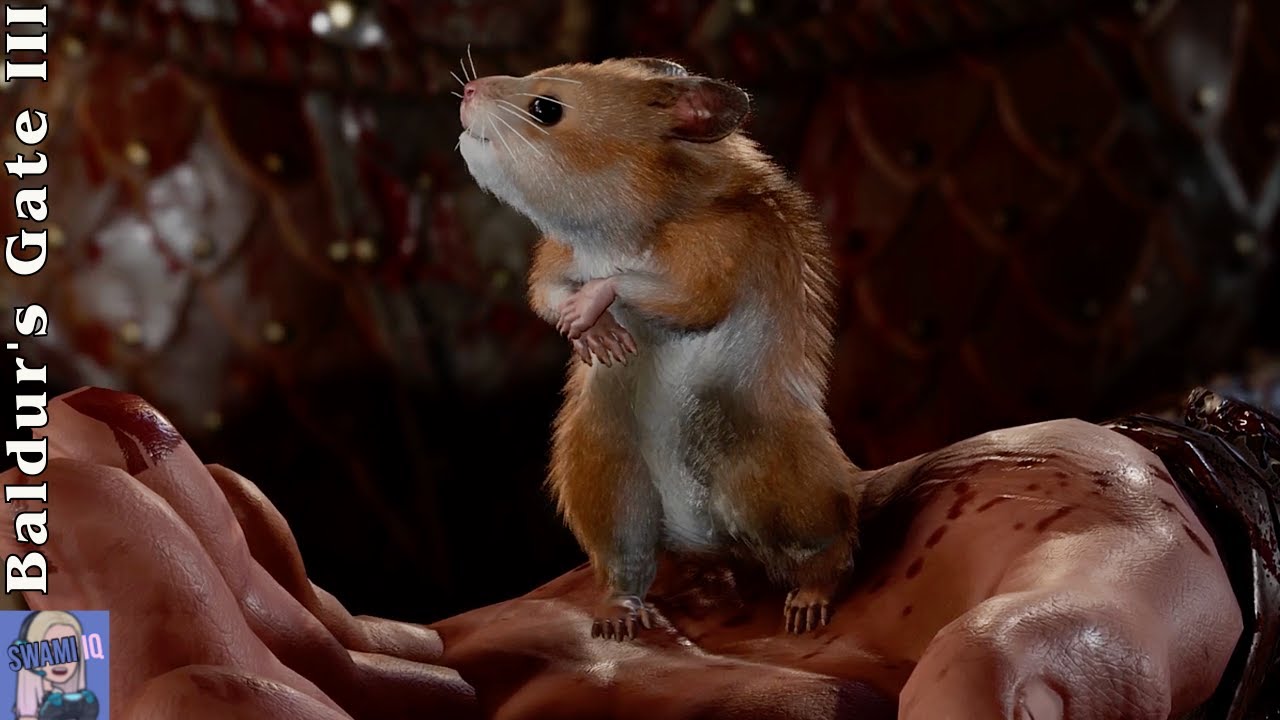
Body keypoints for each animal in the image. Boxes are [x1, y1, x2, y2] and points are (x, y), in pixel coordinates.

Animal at [458, 57, 860, 639]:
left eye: (546, 108)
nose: (468, 89)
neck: (617, 226)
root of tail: (707, 541)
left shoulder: (712, 260)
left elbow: (645, 287)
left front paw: (594, 319)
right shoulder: (557, 258)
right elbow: (548, 292)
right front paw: (596, 338)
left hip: (781, 486)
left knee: (830, 550)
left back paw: (805, 609)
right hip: (605, 480)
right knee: (626, 564)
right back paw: (616, 621)